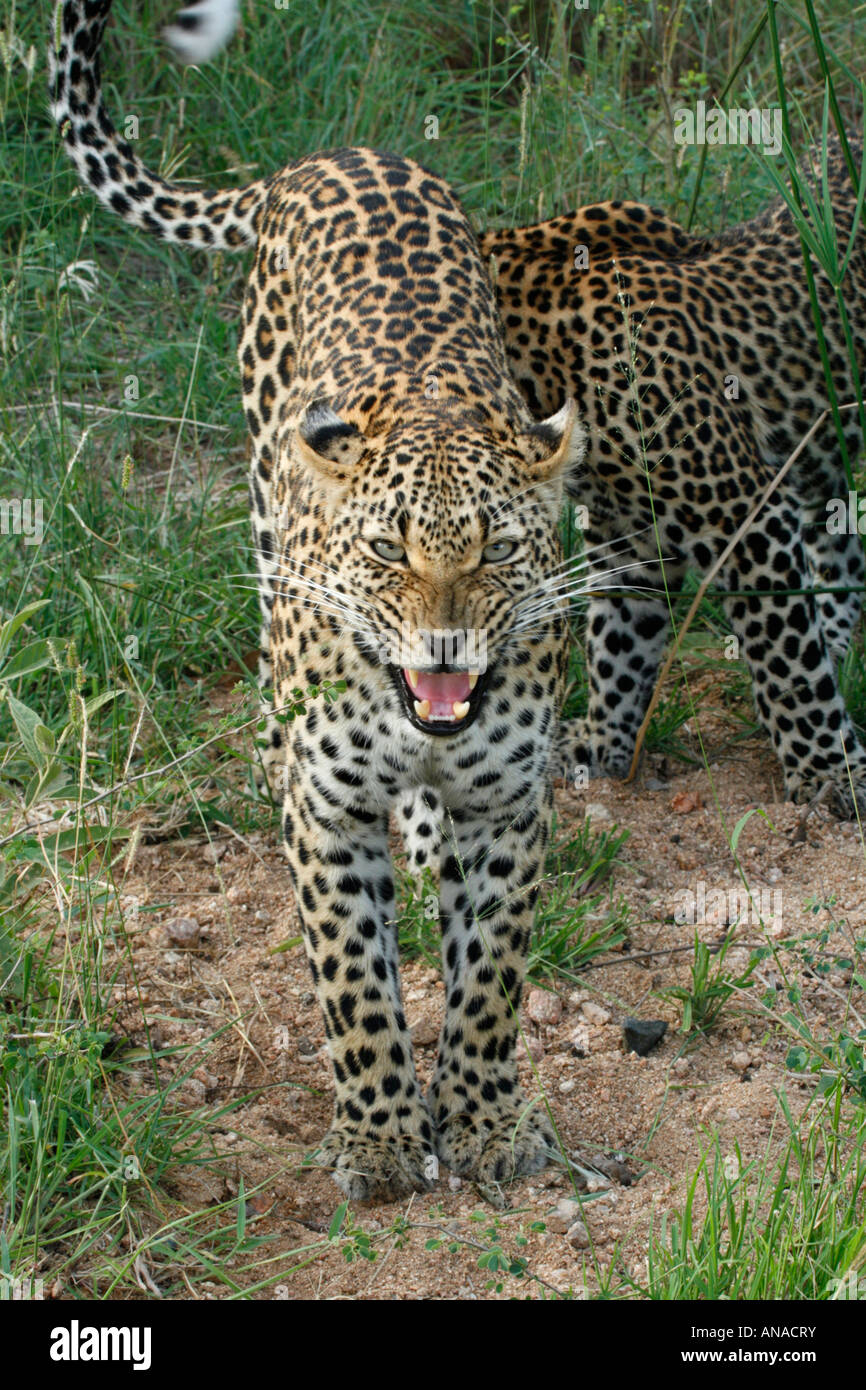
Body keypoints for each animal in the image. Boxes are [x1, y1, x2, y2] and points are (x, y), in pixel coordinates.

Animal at [50, 0, 586, 1198]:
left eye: (496, 550)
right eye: (387, 549)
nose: (444, 651)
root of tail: (332, 155)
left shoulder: (507, 806)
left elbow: (490, 983)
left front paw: (484, 1122)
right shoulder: (331, 815)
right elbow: (355, 984)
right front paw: (382, 1135)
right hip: (260, 485)